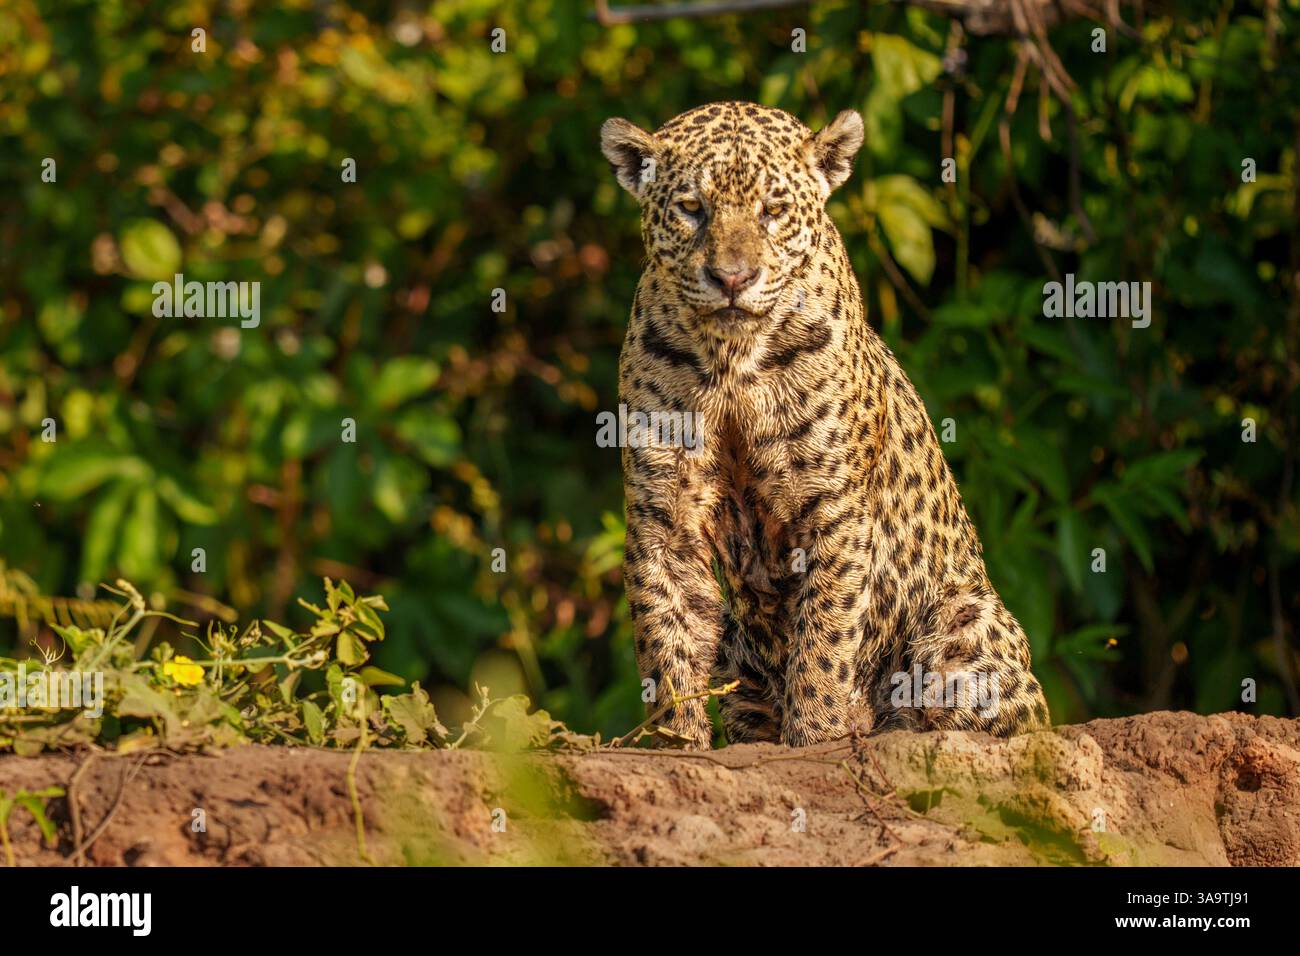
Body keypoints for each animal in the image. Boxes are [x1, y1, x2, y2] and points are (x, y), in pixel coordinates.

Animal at [601, 101, 1050, 748]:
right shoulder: (665, 510)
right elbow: (667, 635)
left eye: (772, 210)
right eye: (691, 208)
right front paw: (677, 741)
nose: (732, 278)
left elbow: (824, 638)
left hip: (966, 625)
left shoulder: (832, 508)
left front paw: (814, 738)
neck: (731, 361)